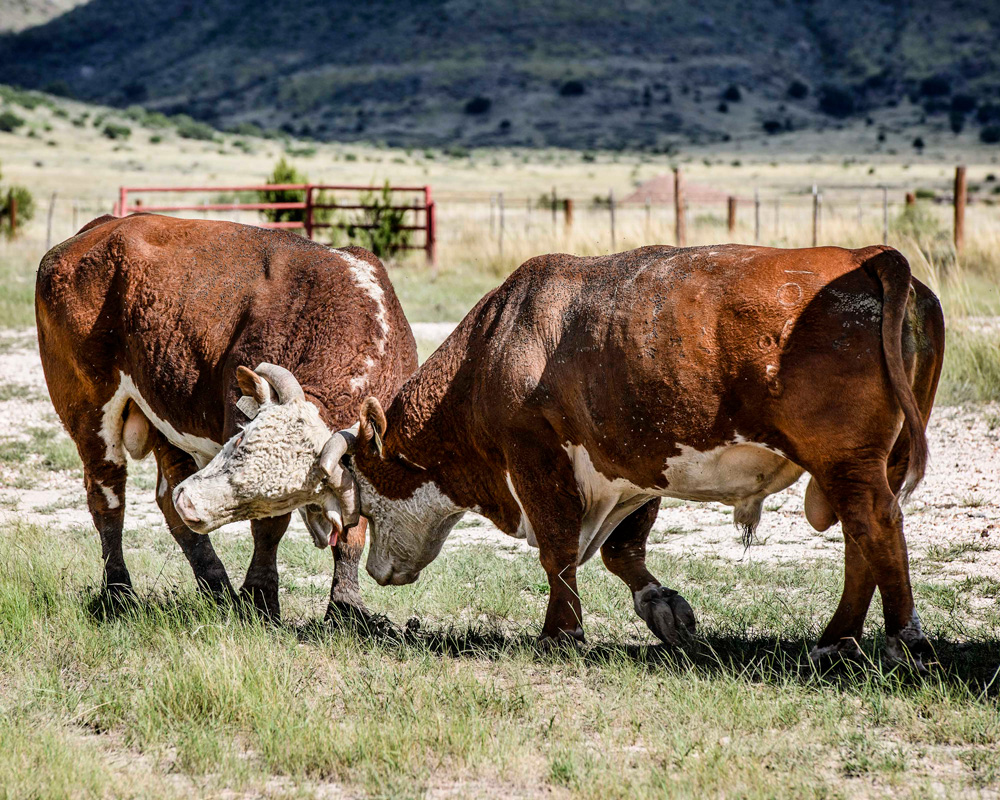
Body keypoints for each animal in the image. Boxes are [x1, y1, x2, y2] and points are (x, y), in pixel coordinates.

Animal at [35, 213, 417, 620]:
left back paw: (216, 587)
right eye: (238, 440)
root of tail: (103, 226)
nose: (192, 502)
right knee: (107, 498)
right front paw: (260, 597)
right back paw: (119, 593)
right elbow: (269, 529)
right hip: (89, 411)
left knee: (169, 499)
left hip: (165, 417)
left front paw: (346, 607)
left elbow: (351, 531)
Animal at [174, 244, 945, 669]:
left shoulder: (537, 457)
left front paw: (560, 632)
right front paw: (664, 610)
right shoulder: (632, 465)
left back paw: (900, 641)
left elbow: (558, 550)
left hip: (847, 462)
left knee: (876, 529)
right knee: (862, 539)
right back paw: (838, 638)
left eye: (360, 484)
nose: (374, 565)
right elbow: (619, 550)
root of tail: (868, 259)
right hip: (854, 466)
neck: (498, 344)